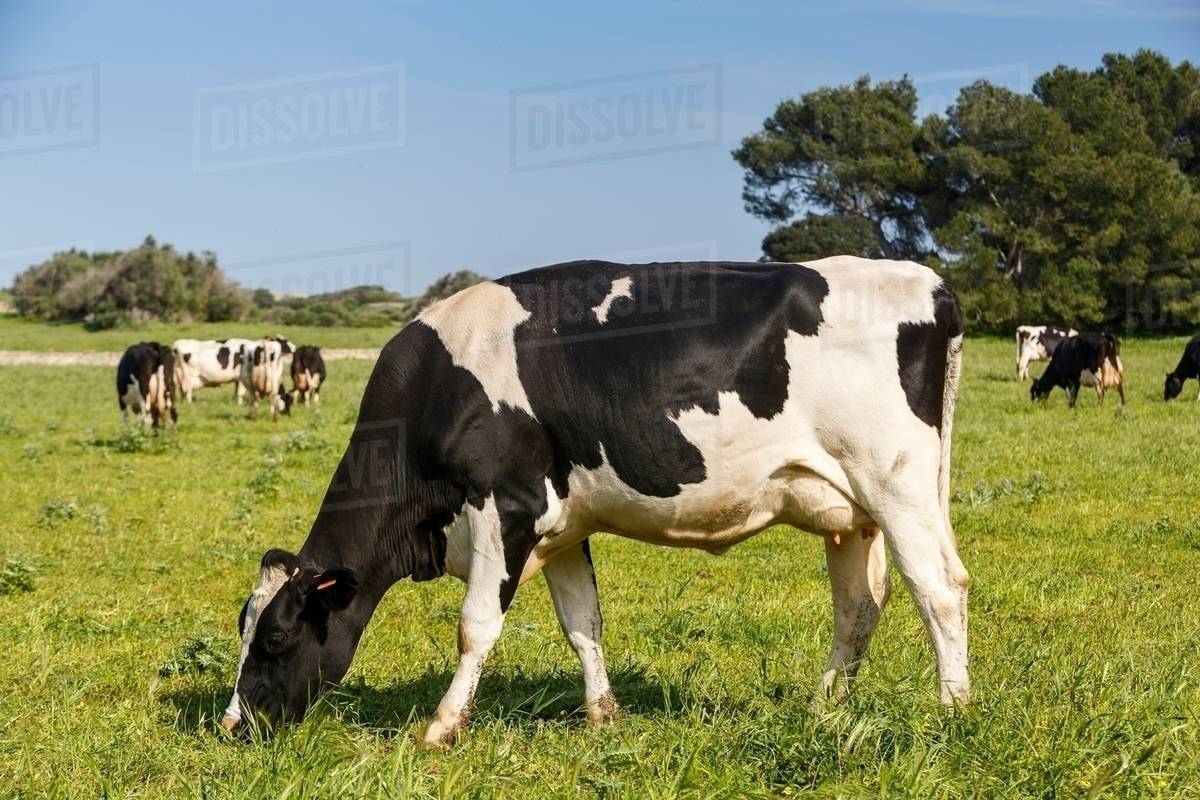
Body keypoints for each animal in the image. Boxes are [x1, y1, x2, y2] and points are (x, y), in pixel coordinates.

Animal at [221, 257, 969, 747]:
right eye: (243, 628)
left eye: (277, 636)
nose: (233, 725)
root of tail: (927, 281)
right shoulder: (561, 526)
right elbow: (583, 622)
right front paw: (603, 715)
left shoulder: (507, 508)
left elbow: (475, 627)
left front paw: (440, 728)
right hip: (851, 512)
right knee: (860, 606)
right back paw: (823, 709)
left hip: (897, 485)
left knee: (940, 589)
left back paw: (952, 712)